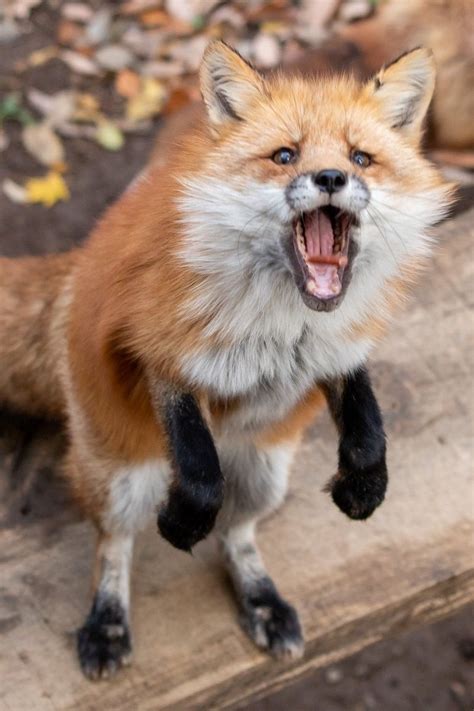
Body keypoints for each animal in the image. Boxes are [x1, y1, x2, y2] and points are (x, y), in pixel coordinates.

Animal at [0, 41, 452, 679]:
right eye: (285, 155)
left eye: (361, 158)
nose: (331, 176)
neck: (284, 327)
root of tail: (76, 268)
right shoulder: (155, 353)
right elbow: (200, 474)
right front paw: (181, 522)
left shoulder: (336, 353)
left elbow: (367, 433)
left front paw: (364, 489)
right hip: (120, 476)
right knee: (114, 544)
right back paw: (107, 623)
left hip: (266, 473)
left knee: (239, 534)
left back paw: (262, 599)